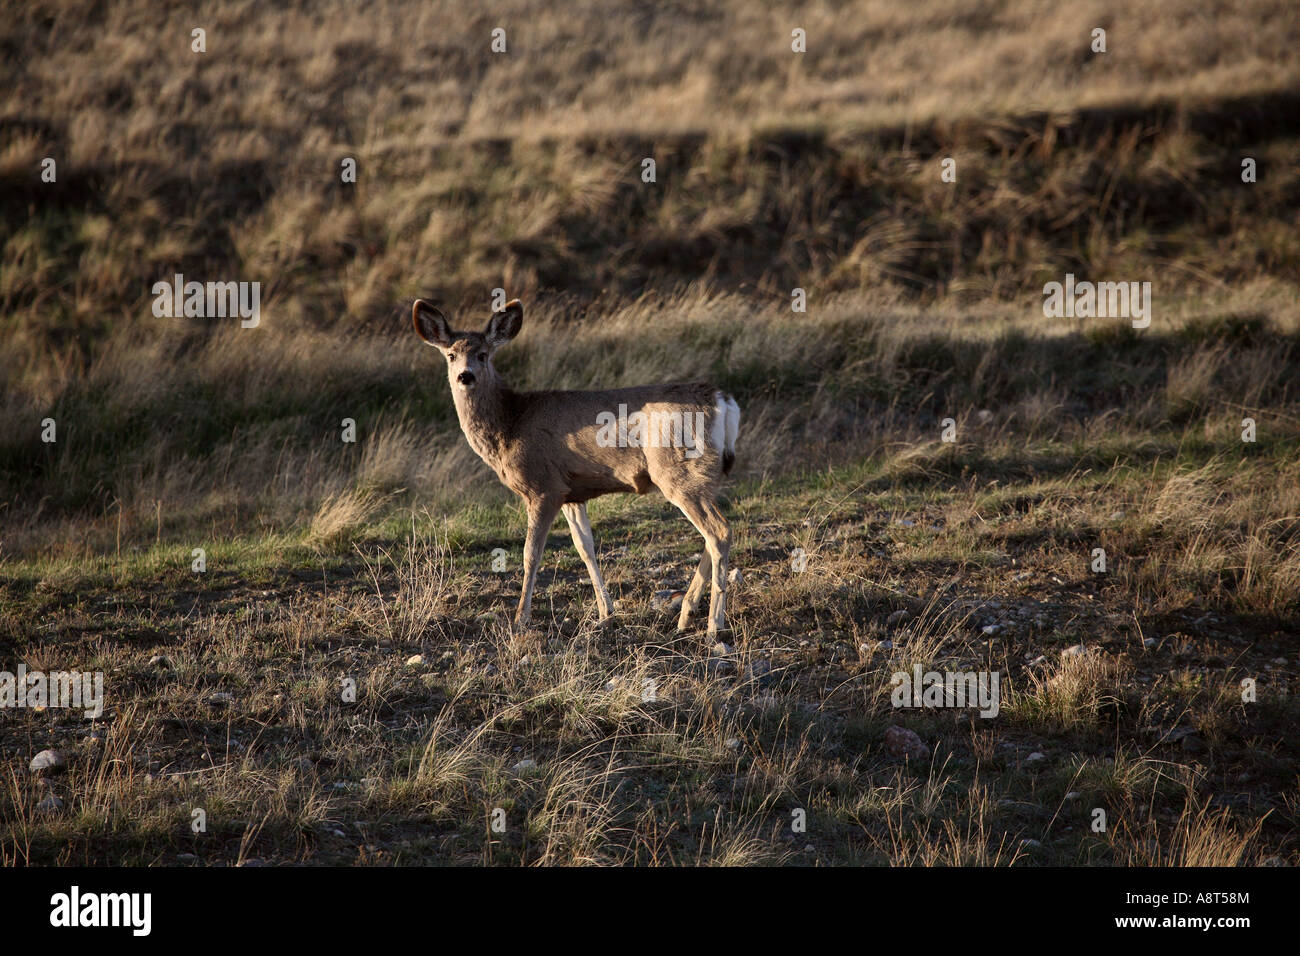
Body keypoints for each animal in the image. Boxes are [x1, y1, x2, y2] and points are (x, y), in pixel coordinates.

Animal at [412, 298, 740, 637]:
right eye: (451, 355)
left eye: (483, 354)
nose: (465, 376)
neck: (510, 425)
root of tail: (723, 401)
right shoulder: (571, 491)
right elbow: (585, 548)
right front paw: (606, 612)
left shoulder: (544, 486)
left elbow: (531, 553)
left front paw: (521, 618)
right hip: (702, 477)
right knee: (713, 534)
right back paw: (686, 615)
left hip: (679, 471)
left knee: (719, 532)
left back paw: (714, 625)